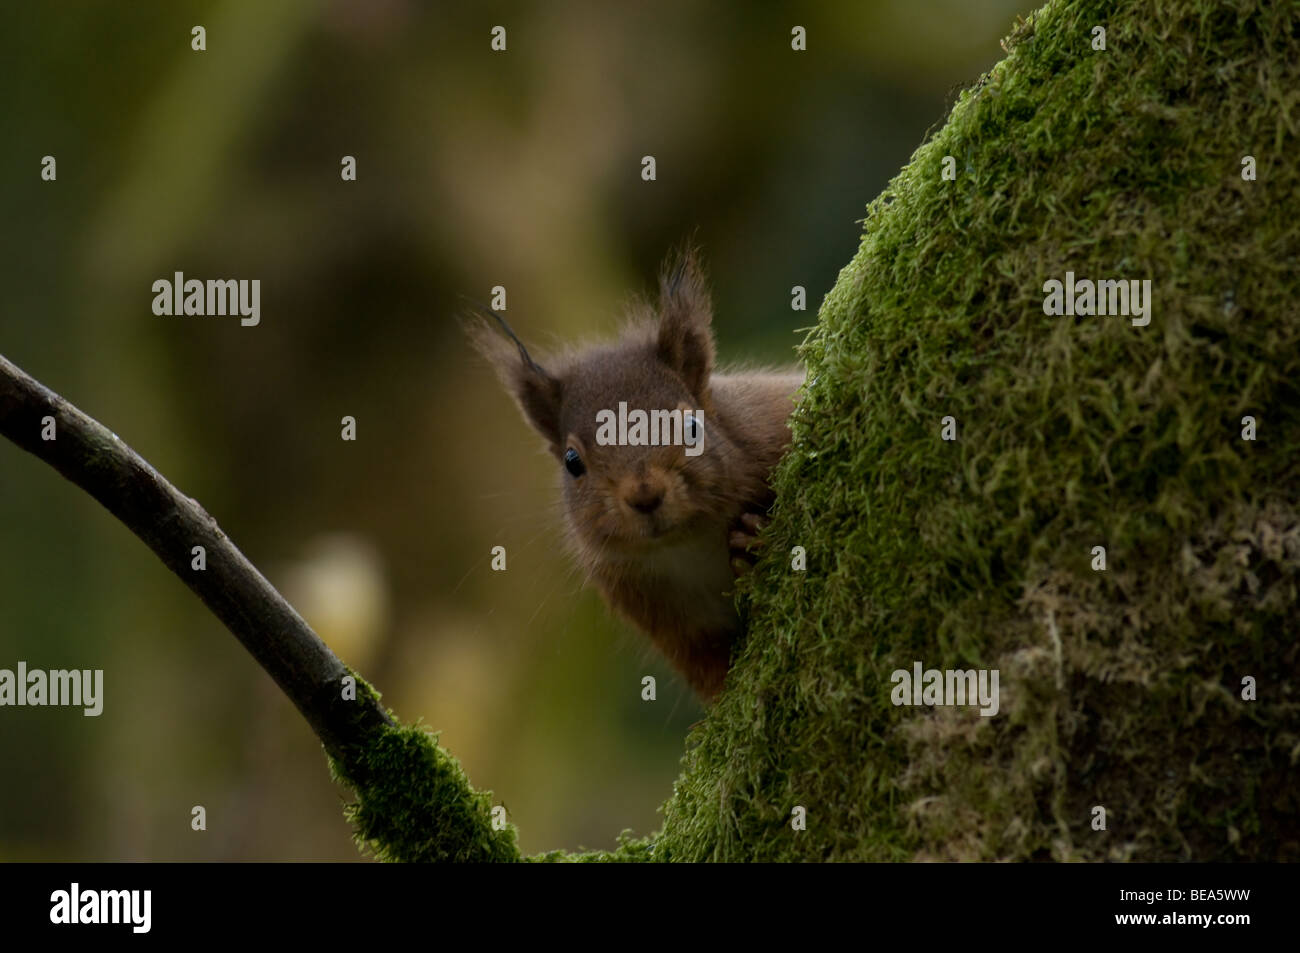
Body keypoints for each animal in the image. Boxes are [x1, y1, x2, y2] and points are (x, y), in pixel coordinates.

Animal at [468, 248, 803, 701]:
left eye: (692, 427)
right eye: (572, 461)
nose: (645, 496)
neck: (688, 543)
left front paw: (754, 537)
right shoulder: (659, 613)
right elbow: (709, 668)